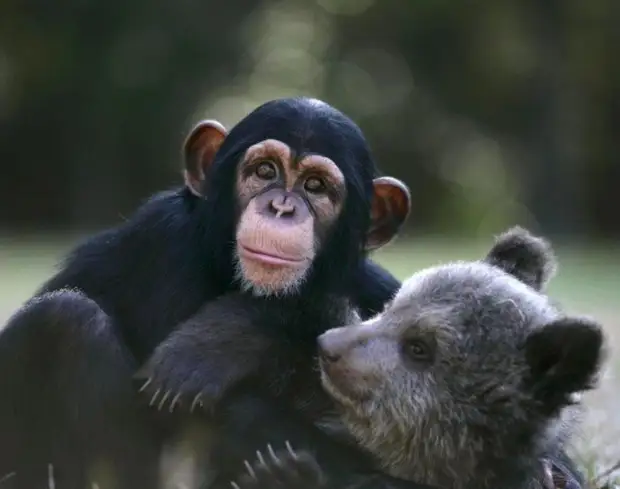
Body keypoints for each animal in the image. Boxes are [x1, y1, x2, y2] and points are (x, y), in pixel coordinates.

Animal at [0, 98, 412, 488]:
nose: (281, 207)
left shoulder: (382, 290)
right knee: (65, 319)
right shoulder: (165, 240)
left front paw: (227, 336)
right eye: (265, 171)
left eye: (315, 186)